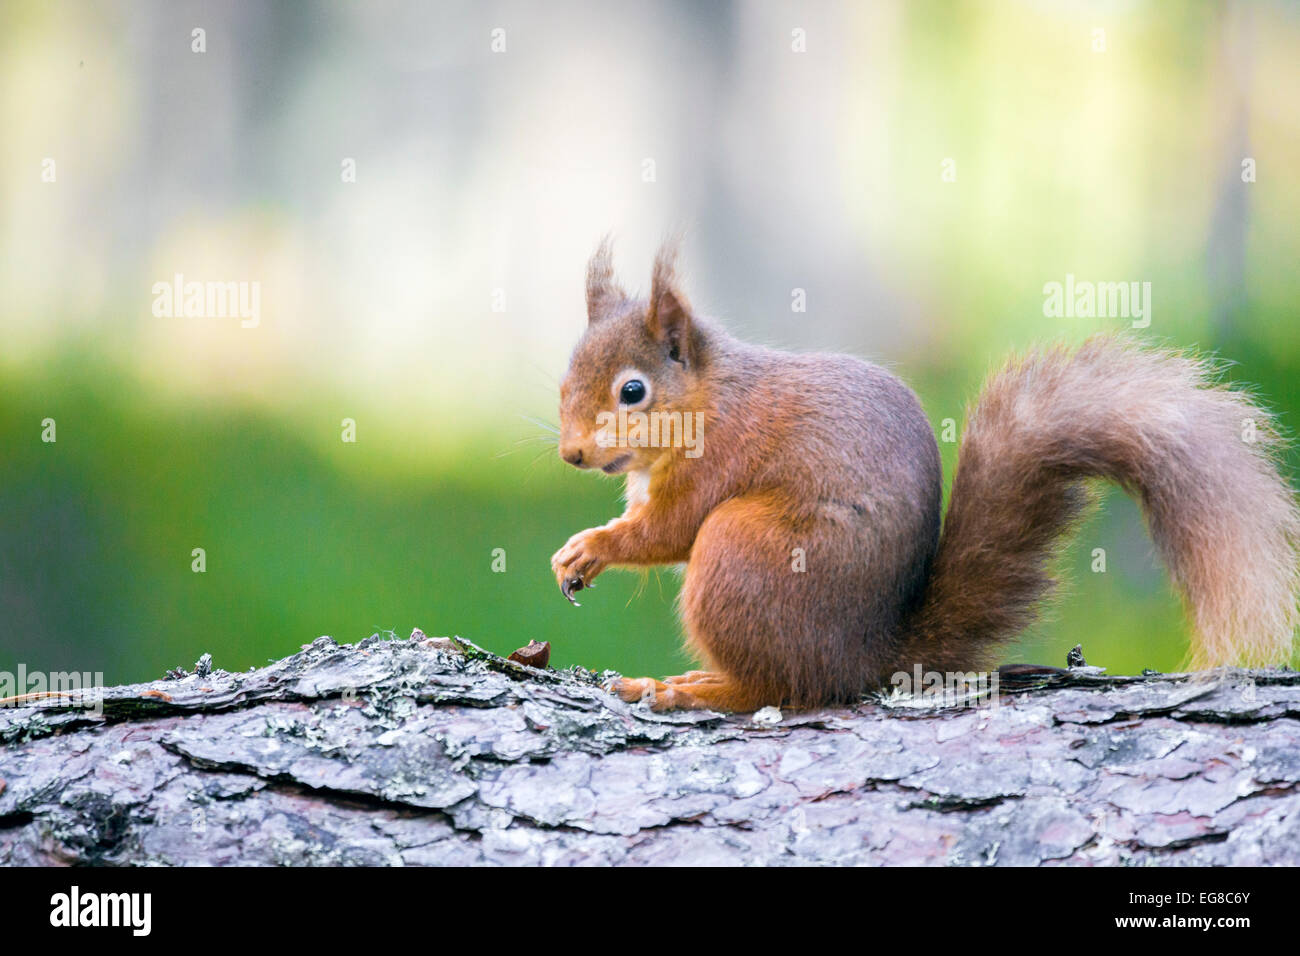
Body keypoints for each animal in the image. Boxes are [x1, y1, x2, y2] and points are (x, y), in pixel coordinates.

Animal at [551, 239, 1300, 712]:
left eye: (633, 391)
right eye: (564, 380)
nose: (571, 456)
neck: (707, 400)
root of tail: (866, 653)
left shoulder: (723, 458)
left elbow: (666, 532)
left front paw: (591, 547)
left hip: (741, 554)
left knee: (781, 689)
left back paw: (689, 690)